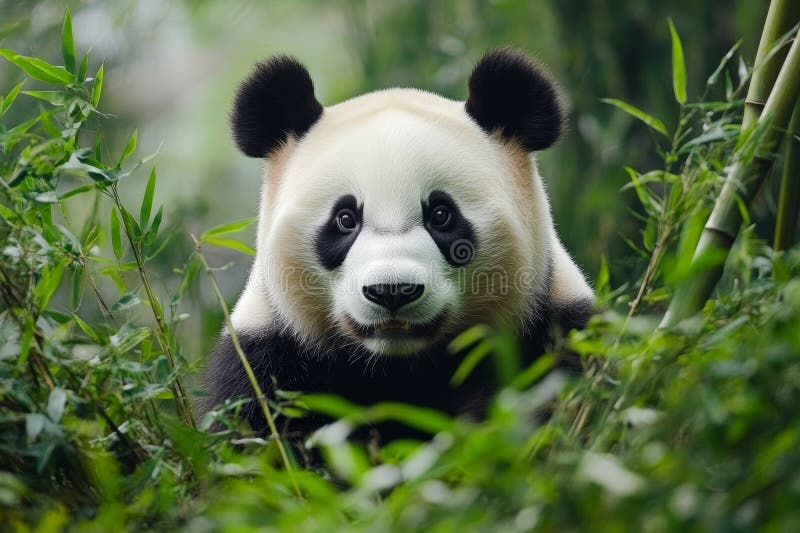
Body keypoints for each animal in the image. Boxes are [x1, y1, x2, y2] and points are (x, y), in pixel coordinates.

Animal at [201, 48, 594, 440]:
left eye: (441, 215)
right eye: (345, 219)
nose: (392, 290)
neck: (400, 366)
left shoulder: (553, 329)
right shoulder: (268, 358)